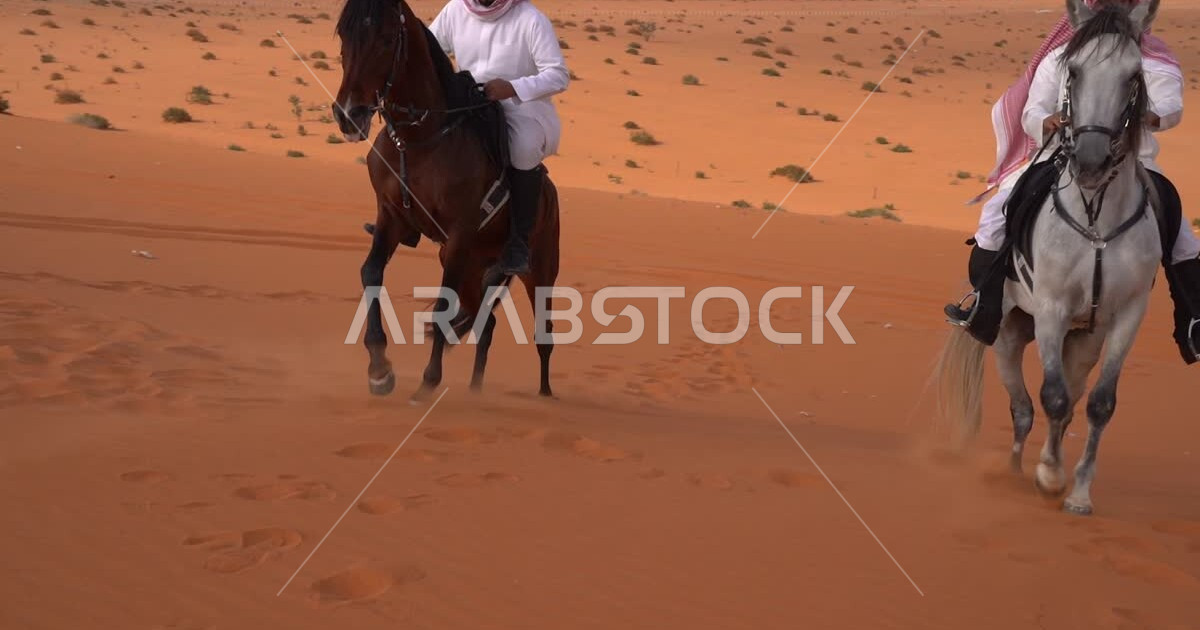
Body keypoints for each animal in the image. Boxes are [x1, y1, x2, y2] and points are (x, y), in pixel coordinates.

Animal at [332, 0, 561, 402]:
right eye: (343, 33)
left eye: (386, 38)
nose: (349, 114)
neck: (421, 139)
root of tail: (548, 191)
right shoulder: (391, 217)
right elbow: (371, 272)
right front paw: (379, 368)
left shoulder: (458, 236)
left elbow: (441, 304)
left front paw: (428, 381)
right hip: (478, 266)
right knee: (486, 323)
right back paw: (475, 389)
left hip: (540, 269)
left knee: (542, 337)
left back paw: (545, 397)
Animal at [938, 0, 1163, 516]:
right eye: (1072, 71)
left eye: (1134, 74)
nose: (1091, 161)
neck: (1097, 220)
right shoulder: (1051, 309)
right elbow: (1052, 397)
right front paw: (1047, 475)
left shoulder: (1127, 316)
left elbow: (1098, 404)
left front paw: (1077, 491)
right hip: (1006, 333)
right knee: (1023, 408)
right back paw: (1015, 469)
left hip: (1083, 340)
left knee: (1072, 401)